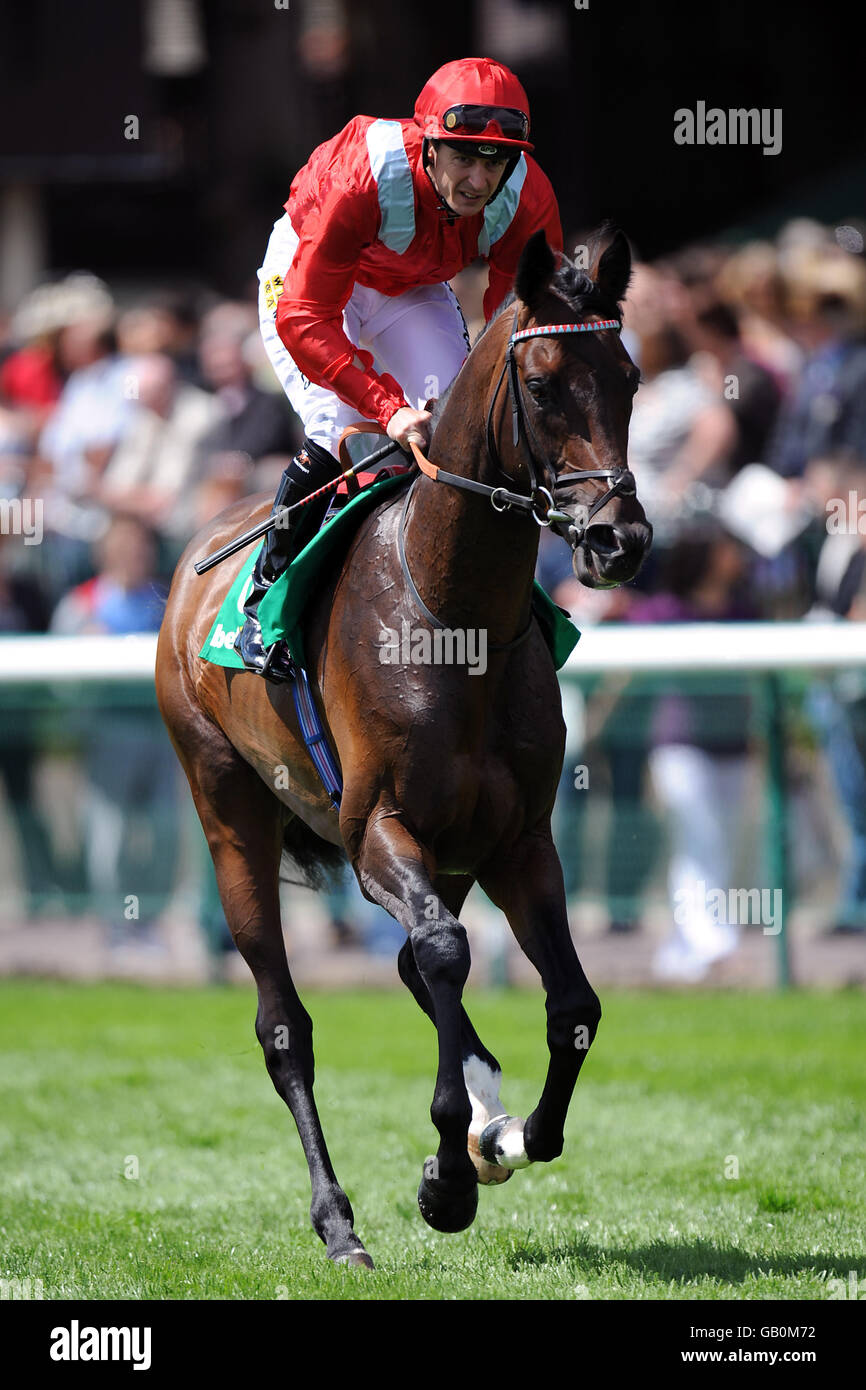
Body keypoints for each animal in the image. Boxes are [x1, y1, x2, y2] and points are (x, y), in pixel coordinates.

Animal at [155, 227, 652, 1268]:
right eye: (542, 383)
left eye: (629, 378)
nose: (617, 540)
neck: (454, 613)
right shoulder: (375, 826)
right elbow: (442, 958)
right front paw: (449, 1176)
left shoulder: (516, 841)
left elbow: (572, 1006)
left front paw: (505, 1134)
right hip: (228, 812)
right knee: (287, 1026)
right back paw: (339, 1222)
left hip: (449, 856)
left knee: (422, 964)